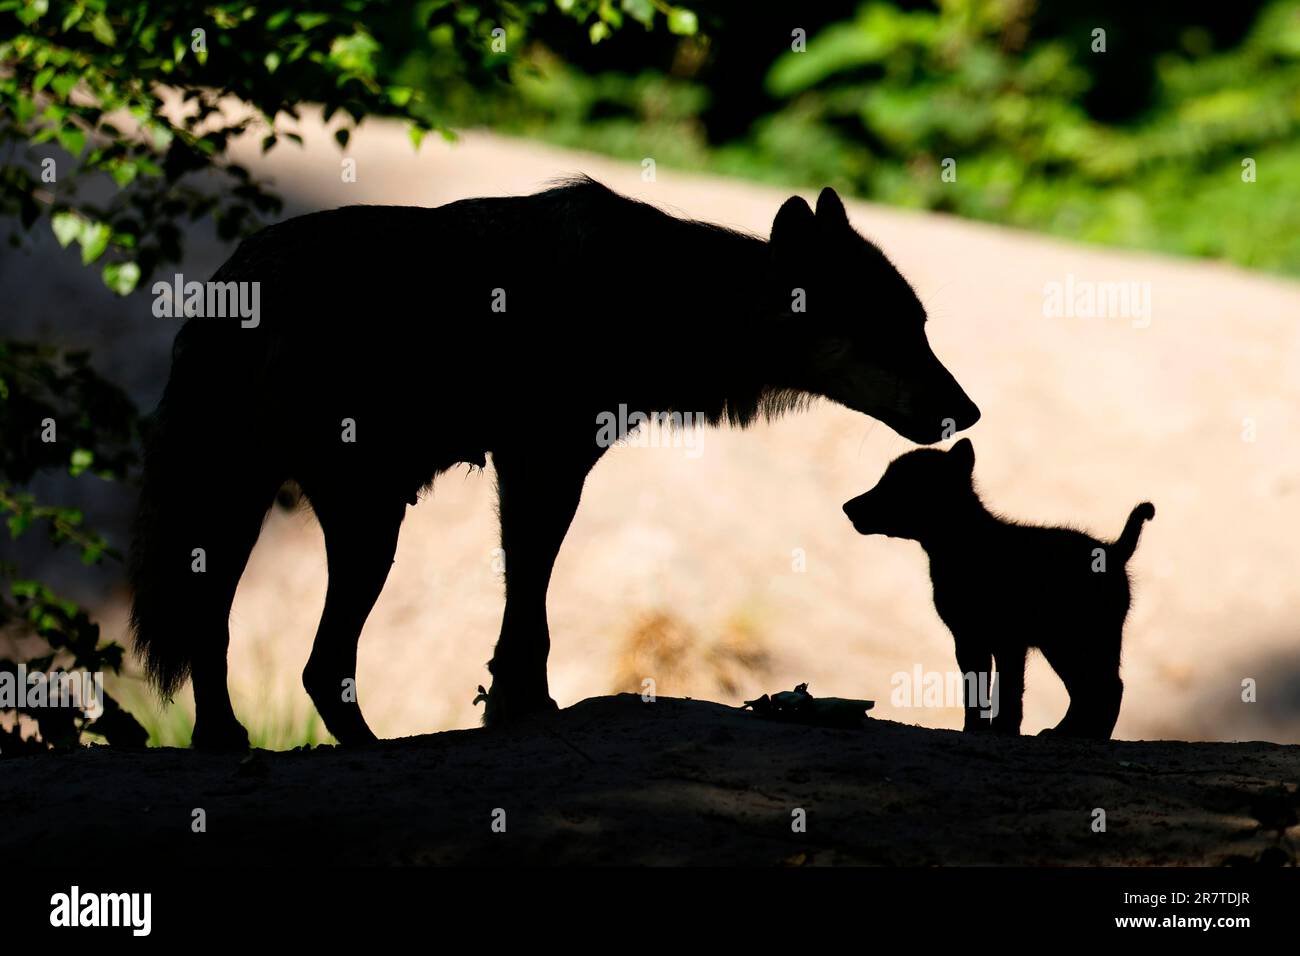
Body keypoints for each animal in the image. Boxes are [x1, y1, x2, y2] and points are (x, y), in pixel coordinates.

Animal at [130, 177, 980, 748]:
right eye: (894, 334)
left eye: (922, 326)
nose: (968, 412)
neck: (660, 297)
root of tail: (229, 291)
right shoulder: (545, 464)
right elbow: (529, 612)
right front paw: (527, 709)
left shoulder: (539, 467)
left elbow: (524, 606)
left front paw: (513, 709)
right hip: (365, 520)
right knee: (314, 663)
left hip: (262, 514)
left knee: (224, 635)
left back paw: (225, 745)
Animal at [842, 439, 1153, 739]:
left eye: (898, 483)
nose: (848, 507)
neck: (965, 541)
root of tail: (1114, 551)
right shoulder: (968, 640)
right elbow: (975, 690)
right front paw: (975, 728)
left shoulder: (1008, 641)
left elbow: (1010, 689)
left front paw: (1005, 729)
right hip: (1067, 643)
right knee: (1089, 690)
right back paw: (1070, 732)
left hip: (1078, 638)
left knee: (1106, 687)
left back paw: (1087, 735)